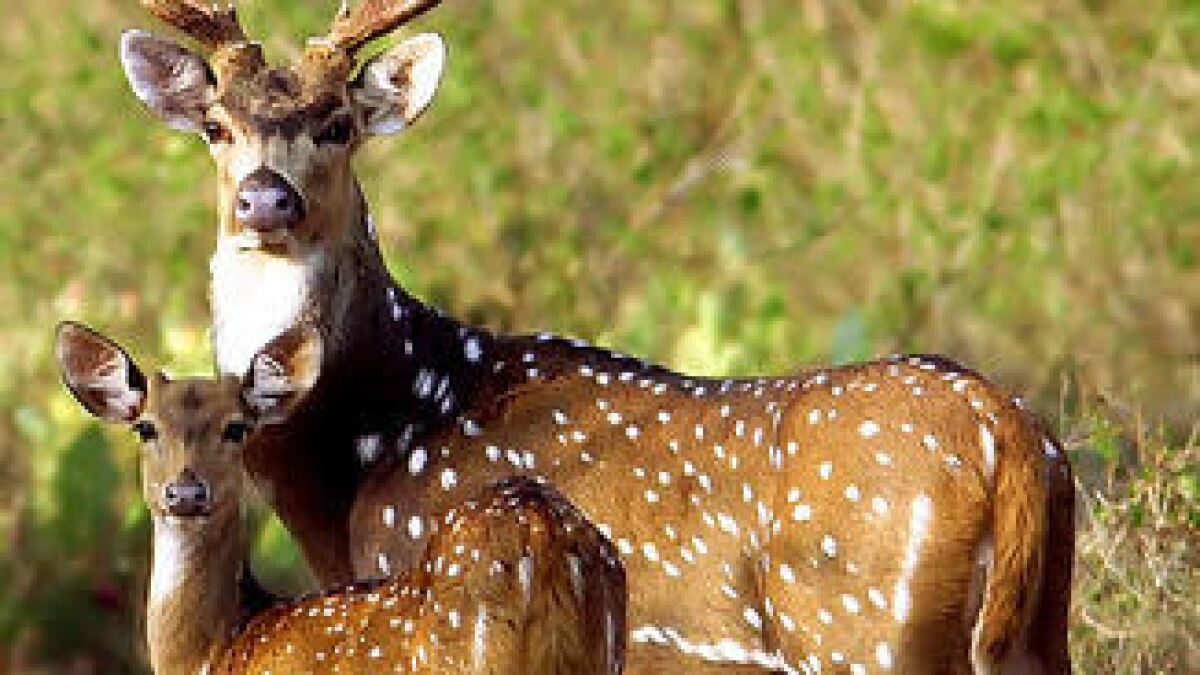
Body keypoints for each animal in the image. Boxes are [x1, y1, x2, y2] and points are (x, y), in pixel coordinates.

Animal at [117, 0, 1076, 672]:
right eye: (216, 126)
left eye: (338, 123)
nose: (266, 200)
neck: (367, 450)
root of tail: (1010, 436)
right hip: (1037, 632)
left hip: (863, 630)